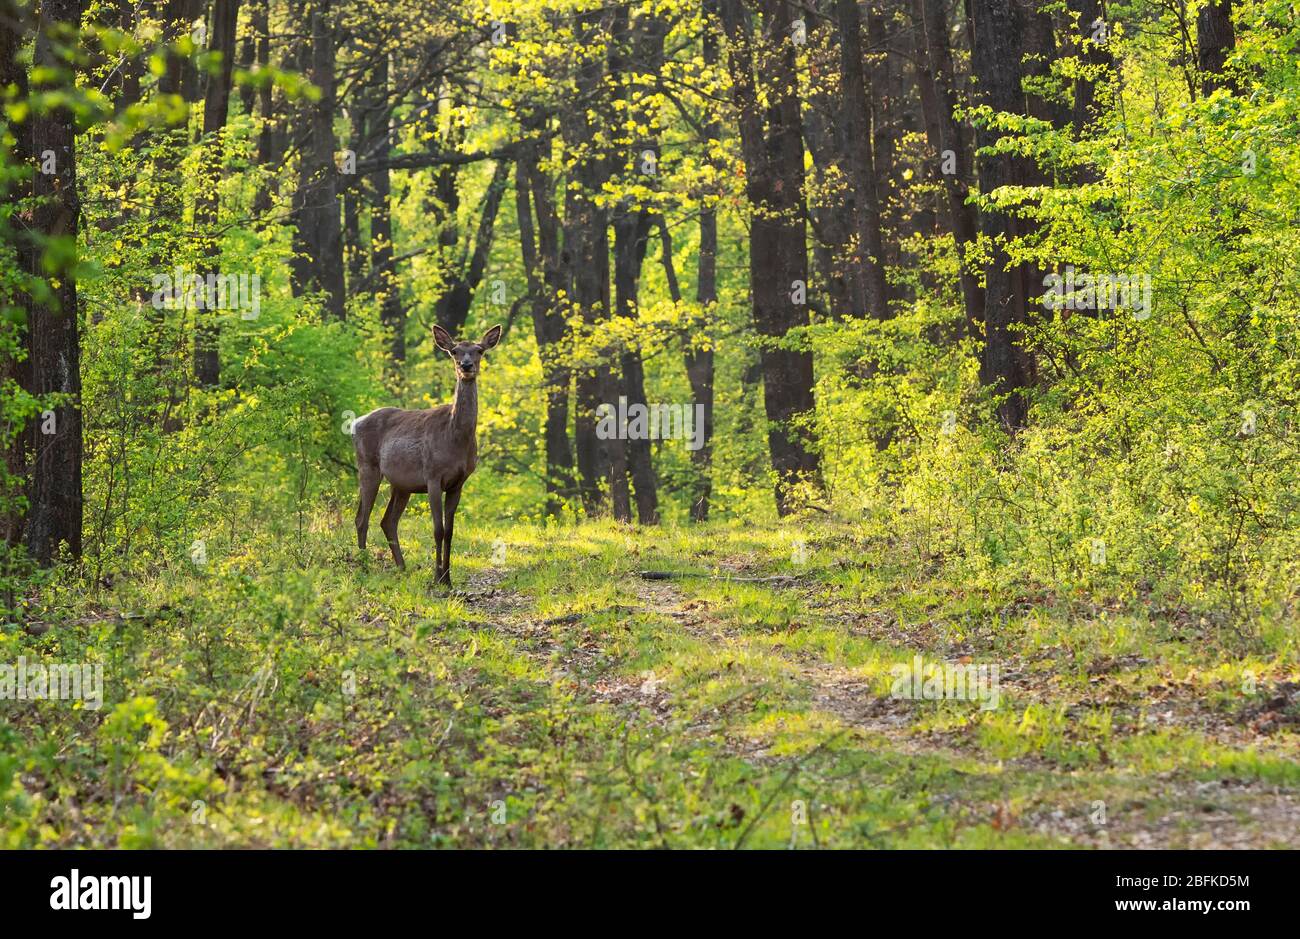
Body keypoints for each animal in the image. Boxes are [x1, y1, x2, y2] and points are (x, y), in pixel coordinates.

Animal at [353, 324, 502, 586]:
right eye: (454, 351)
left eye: (479, 350)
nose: (466, 366)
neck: (455, 438)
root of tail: (353, 424)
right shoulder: (433, 476)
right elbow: (437, 529)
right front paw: (436, 577)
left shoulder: (458, 483)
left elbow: (450, 530)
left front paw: (448, 579)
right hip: (367, 466)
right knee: (362, 518)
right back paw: (364, 566)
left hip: (401, 484)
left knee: (387, 521)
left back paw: (402, 568)